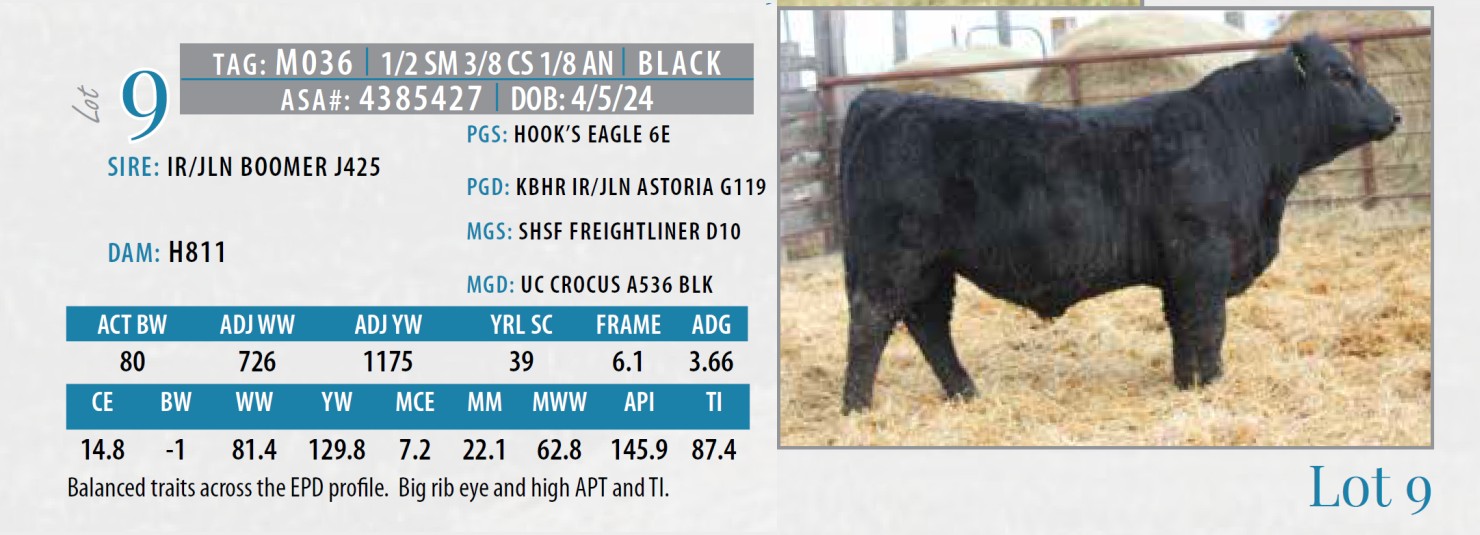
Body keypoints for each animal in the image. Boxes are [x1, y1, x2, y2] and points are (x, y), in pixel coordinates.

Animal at [838, 35, 1401, 413]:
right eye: (1341, 74)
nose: (1395, 116)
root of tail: (885, 100)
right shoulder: (1203, 255)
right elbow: (1209, 325)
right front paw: (1214, 388)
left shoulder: (1178, 271)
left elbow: (1182, 327)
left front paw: (1187, 386)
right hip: (894, 256)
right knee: (872, 321)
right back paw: (857, 409)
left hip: (934, 264)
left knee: (928, 323)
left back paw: (966, 394)